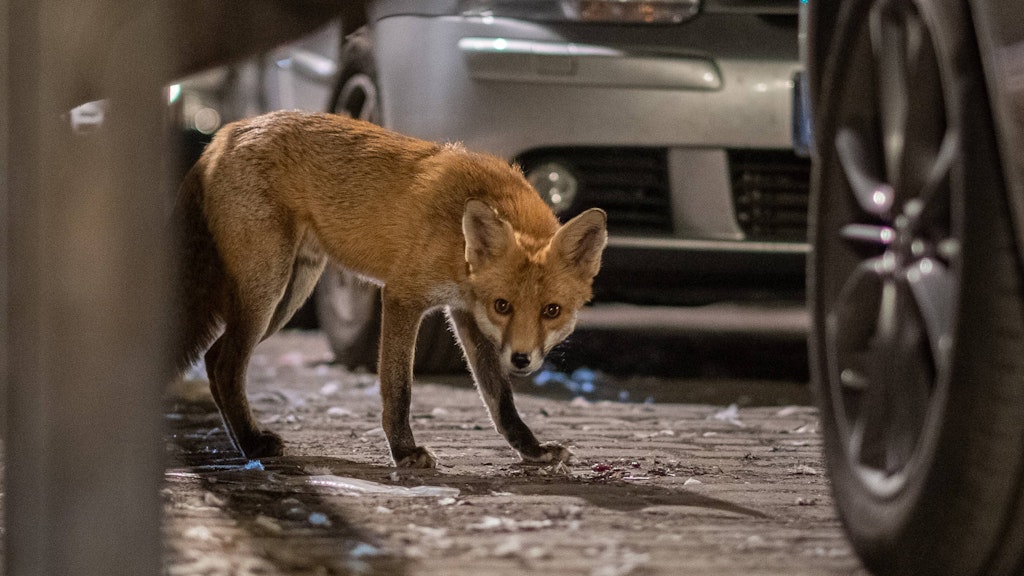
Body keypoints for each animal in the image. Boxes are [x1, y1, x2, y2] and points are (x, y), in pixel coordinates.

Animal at [175, 110, 607, 468]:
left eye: (551, 311)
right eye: (503, 305)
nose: (520, 360)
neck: (460, 244)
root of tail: (225, 133)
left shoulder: (467, 313)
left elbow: (500, 400)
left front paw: (531, 450)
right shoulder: (402, 296)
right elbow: (399, 388)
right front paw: (403, 451)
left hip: (289, 296)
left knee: (213, 358)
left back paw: (242, 441)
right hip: (267, 290)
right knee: (227, 365)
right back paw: (251, 444)